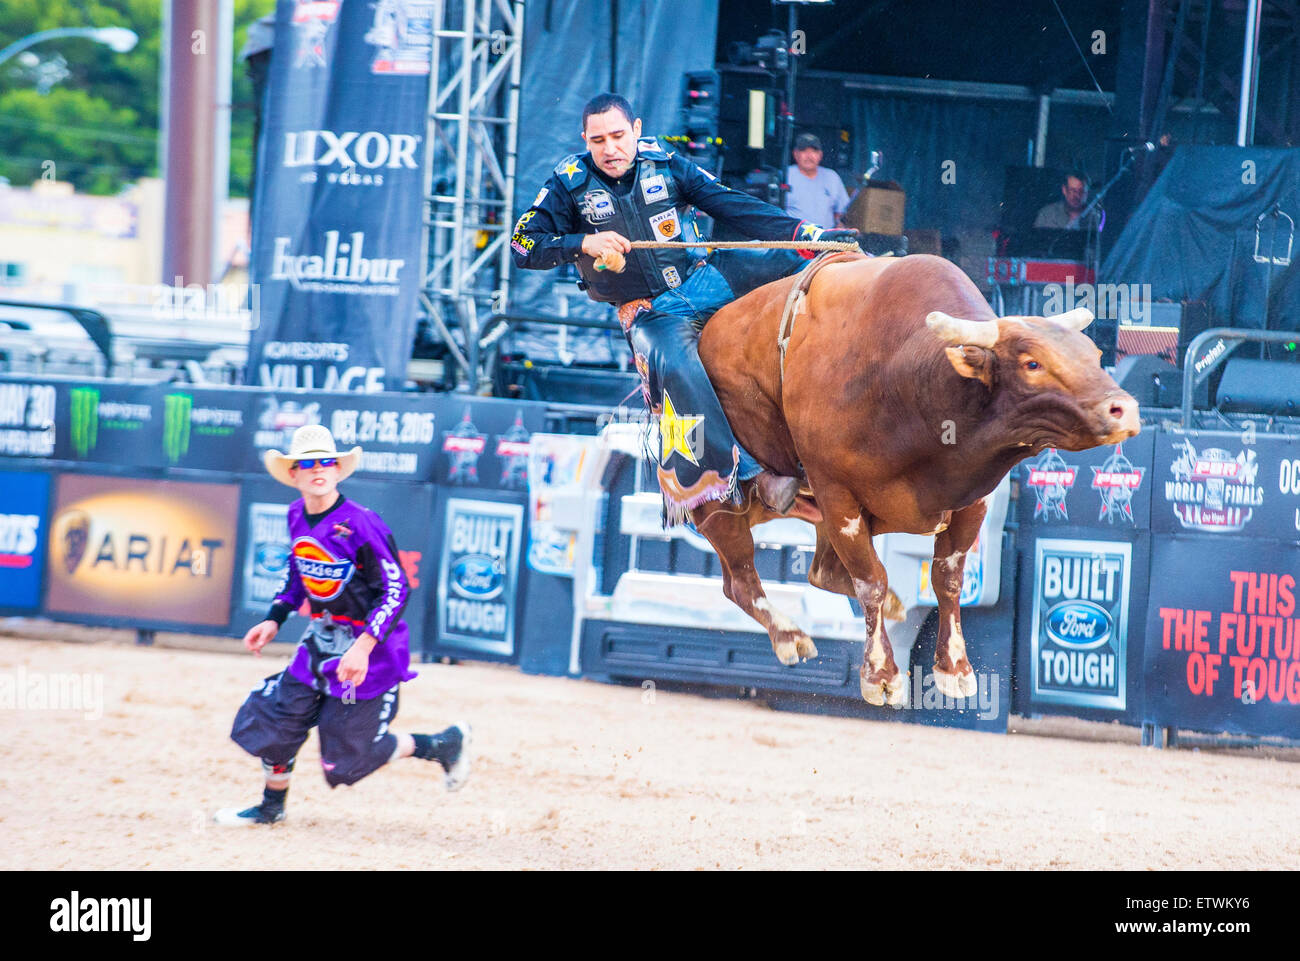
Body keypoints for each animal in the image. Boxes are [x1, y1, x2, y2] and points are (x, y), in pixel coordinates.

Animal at [691, 253, 1140, 706]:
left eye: (1094, 353)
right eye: (1032, 363)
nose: (1123, 409)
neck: (907, 378)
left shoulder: (973, 499)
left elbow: (948, 578)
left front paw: (954, 668)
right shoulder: (836, 495)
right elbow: (870, 579)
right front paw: (881, 675)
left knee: (819, 572)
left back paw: (888, 604)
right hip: (719, 503)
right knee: (742, 582)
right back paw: (789, 637)